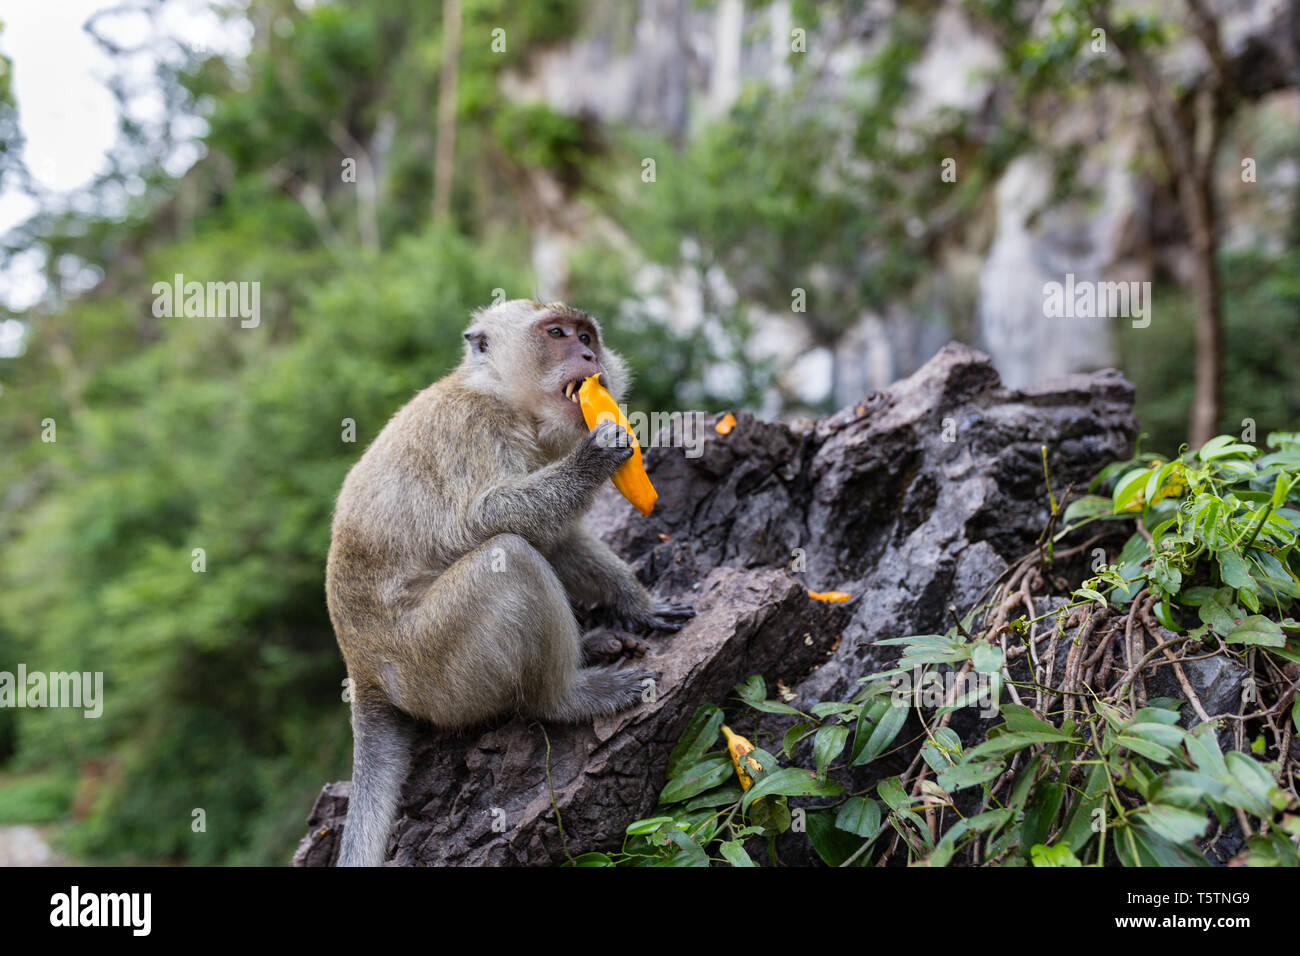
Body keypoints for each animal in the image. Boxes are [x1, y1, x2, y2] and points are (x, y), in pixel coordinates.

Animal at [325, 298, 693, 867]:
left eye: (586, 336)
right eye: (557, 333)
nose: (589, 355)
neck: (504, 399)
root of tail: (363, 671)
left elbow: (557, 539)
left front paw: (639, 603)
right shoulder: (470, 428)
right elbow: (482, 521)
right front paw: (593, 459)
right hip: (435, 669)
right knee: (510, 558)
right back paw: (567, 697)